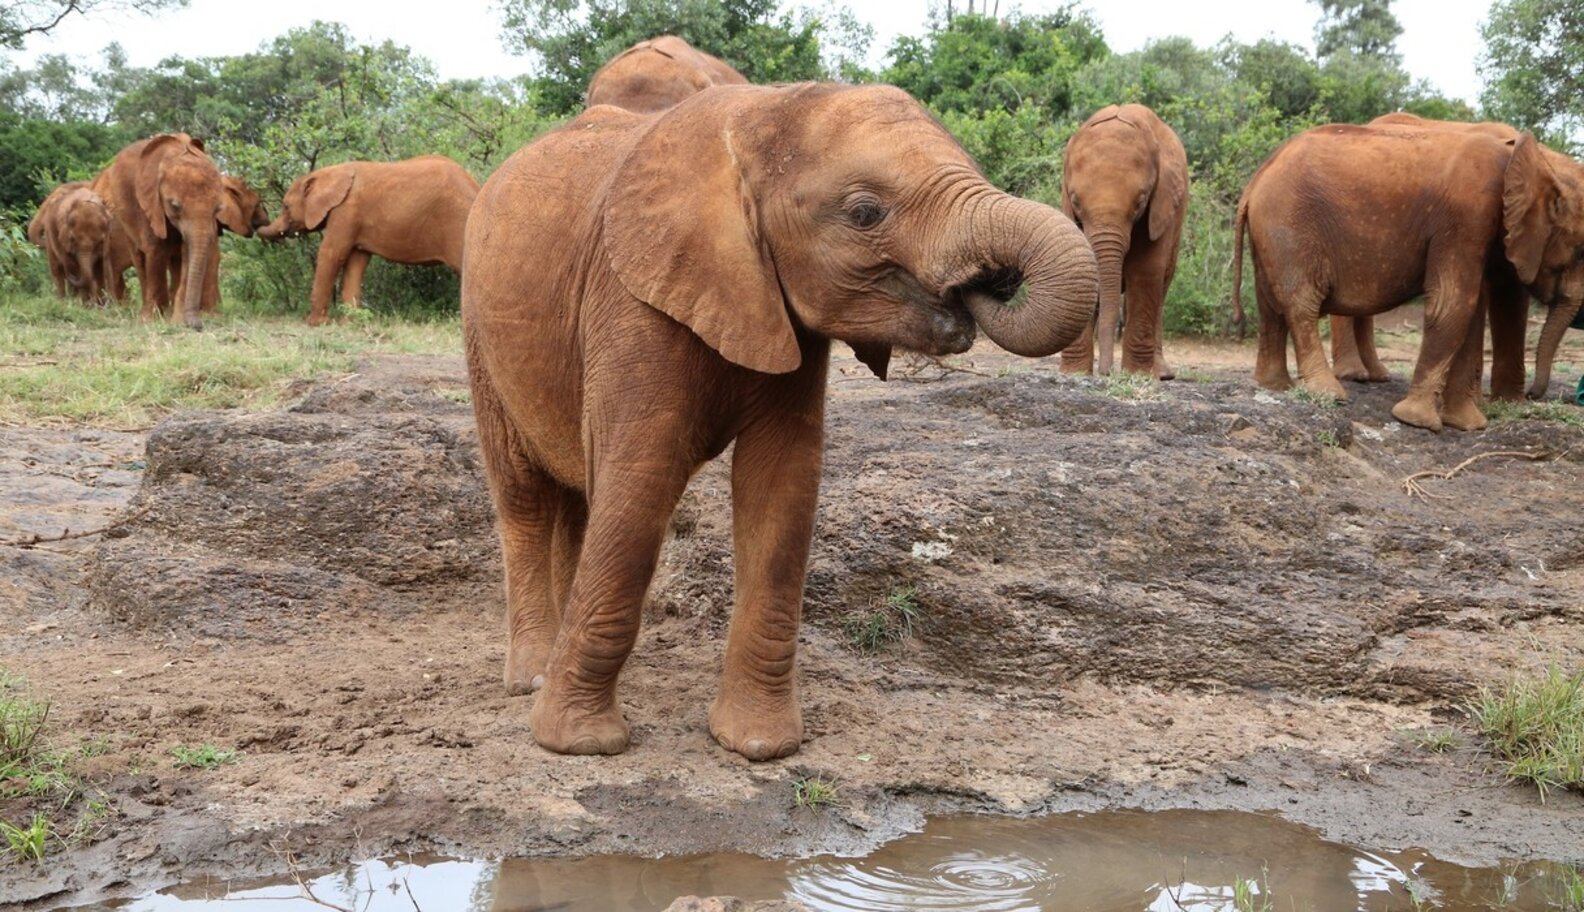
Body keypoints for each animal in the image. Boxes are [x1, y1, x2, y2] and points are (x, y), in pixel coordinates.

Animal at [91, 133, 224, 329]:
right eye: (175, 206)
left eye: (218, 209)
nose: (198, 325)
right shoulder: (148, 204)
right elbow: (156, 251)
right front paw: (153, 320)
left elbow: (187, 253)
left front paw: (177, 322)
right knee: (140, 258)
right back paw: (146, 315)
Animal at [256, 155, 479, 326]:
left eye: (285, 206)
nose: (256, 222)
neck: (330, 172)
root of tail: (475, 186)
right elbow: (356, 263)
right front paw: (349, 323)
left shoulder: (346, 210)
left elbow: (332, 253)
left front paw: (316, 324)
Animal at [462, 83, 1098, 760]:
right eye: (866, 213)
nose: (989, 283)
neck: (762, 113)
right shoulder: (631, 296)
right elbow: (640, 477)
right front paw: (579, 744)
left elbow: (781, 483)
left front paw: (759, 746)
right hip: (479, 331)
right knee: (525, 496)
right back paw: (532, 676)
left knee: (577, 497)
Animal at [1059, 103, 1188, 379]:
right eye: (1076, 202)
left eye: (1140, 202)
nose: (1105, 373)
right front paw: (1075, 374)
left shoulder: (1159, 205)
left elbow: (1145, 270)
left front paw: (1135, 374)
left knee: (1162, 284)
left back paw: (1160, 374)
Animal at [1232, 122, 1584, 431]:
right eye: (1580, 252)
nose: (1533, 396)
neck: (1538, 158)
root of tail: (1254, 182)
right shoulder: (1466, 216)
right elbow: (1452, 304)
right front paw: (1418, 422)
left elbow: (1470, 313)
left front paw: (1467, 426)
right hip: (1289, 224)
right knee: (1301, 303)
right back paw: (1328, 394)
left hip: (1270, 231)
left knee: (1270, 306)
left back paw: (1276, 386)